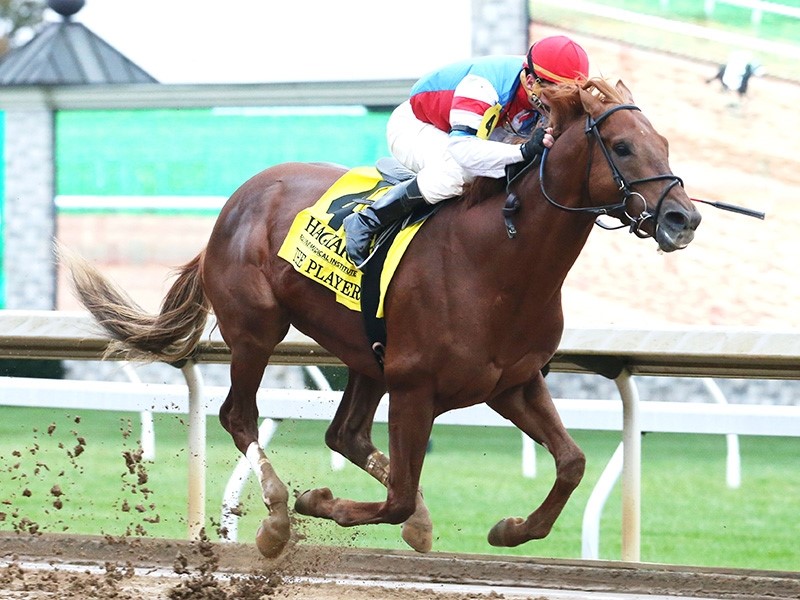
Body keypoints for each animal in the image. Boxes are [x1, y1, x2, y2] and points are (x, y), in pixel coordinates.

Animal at [63, 78, 701, 559]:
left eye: (665, 142)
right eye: (622, 146)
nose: (683, 218)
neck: (498, 261)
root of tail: (238, 200)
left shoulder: (512, 382)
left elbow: (571, 462)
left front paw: (511, 529)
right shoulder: (416, 386)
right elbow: (395, 498)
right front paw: (317, 502)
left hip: (364, 355)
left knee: (344, 433)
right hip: (256, 330)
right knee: (239, 415)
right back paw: (277, 516)